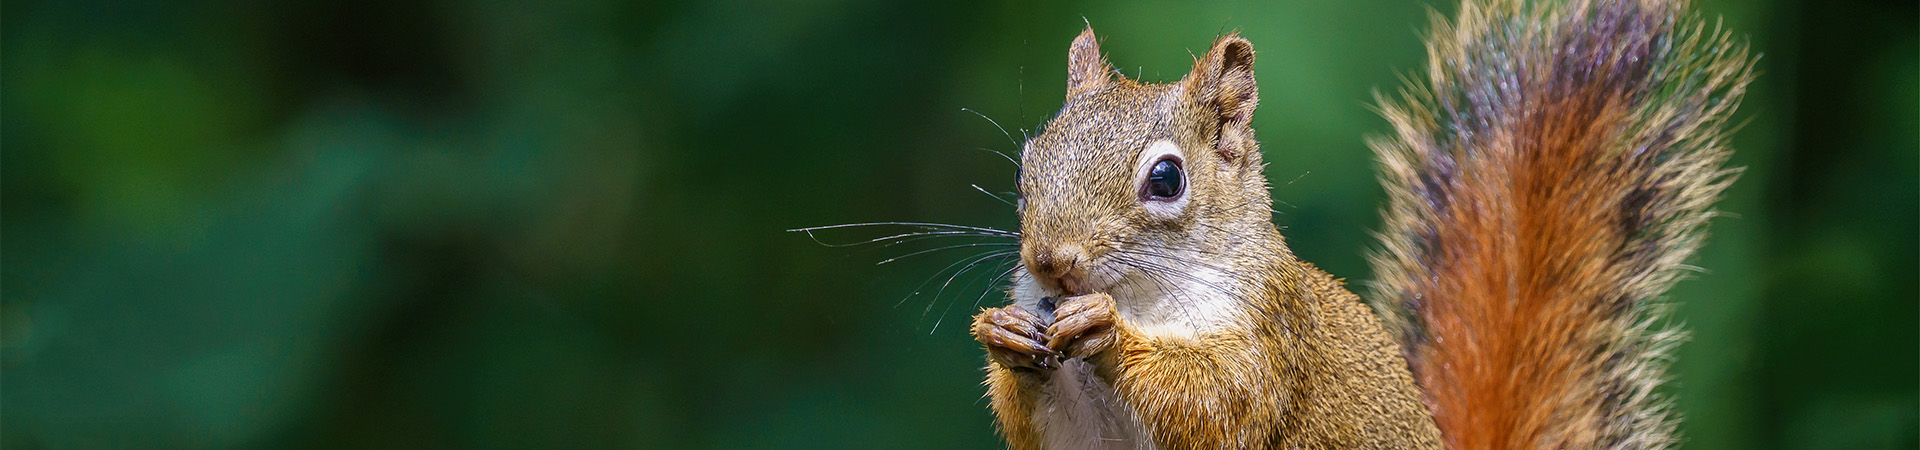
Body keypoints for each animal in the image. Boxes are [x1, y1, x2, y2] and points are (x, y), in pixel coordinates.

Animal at [967, 0, 1754, 449]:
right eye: (1026, 166)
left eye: (1166, 179)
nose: (1050, 263)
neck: (1145, 297)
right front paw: (1004, 333)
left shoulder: (1272, 344)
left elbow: (1215, 401)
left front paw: (1106, 331)